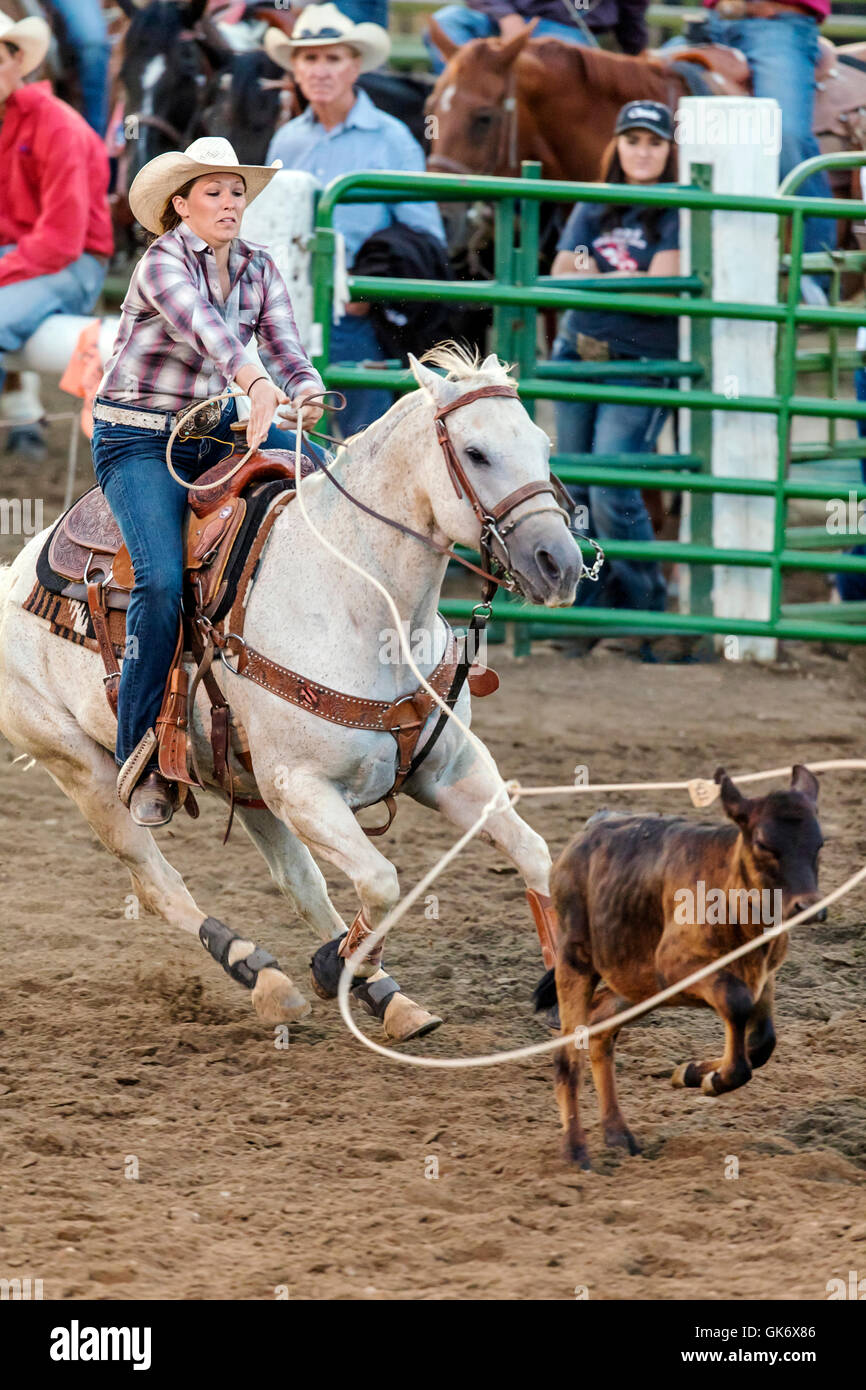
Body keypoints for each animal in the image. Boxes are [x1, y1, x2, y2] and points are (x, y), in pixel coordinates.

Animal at [535, 766, 825, 1168]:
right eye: (764, 844)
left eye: (819, 844)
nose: (809, 907)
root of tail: (588, 832)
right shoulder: (677, 967)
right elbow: (736, 1005)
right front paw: (714, 1076)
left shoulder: (763, 975)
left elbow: (761, 1041)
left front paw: (696, 1072)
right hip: (575, 961)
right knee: (568, 1054)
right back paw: (576, 1150)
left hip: (637, 984)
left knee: (601, 1030)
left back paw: (618, 1134)